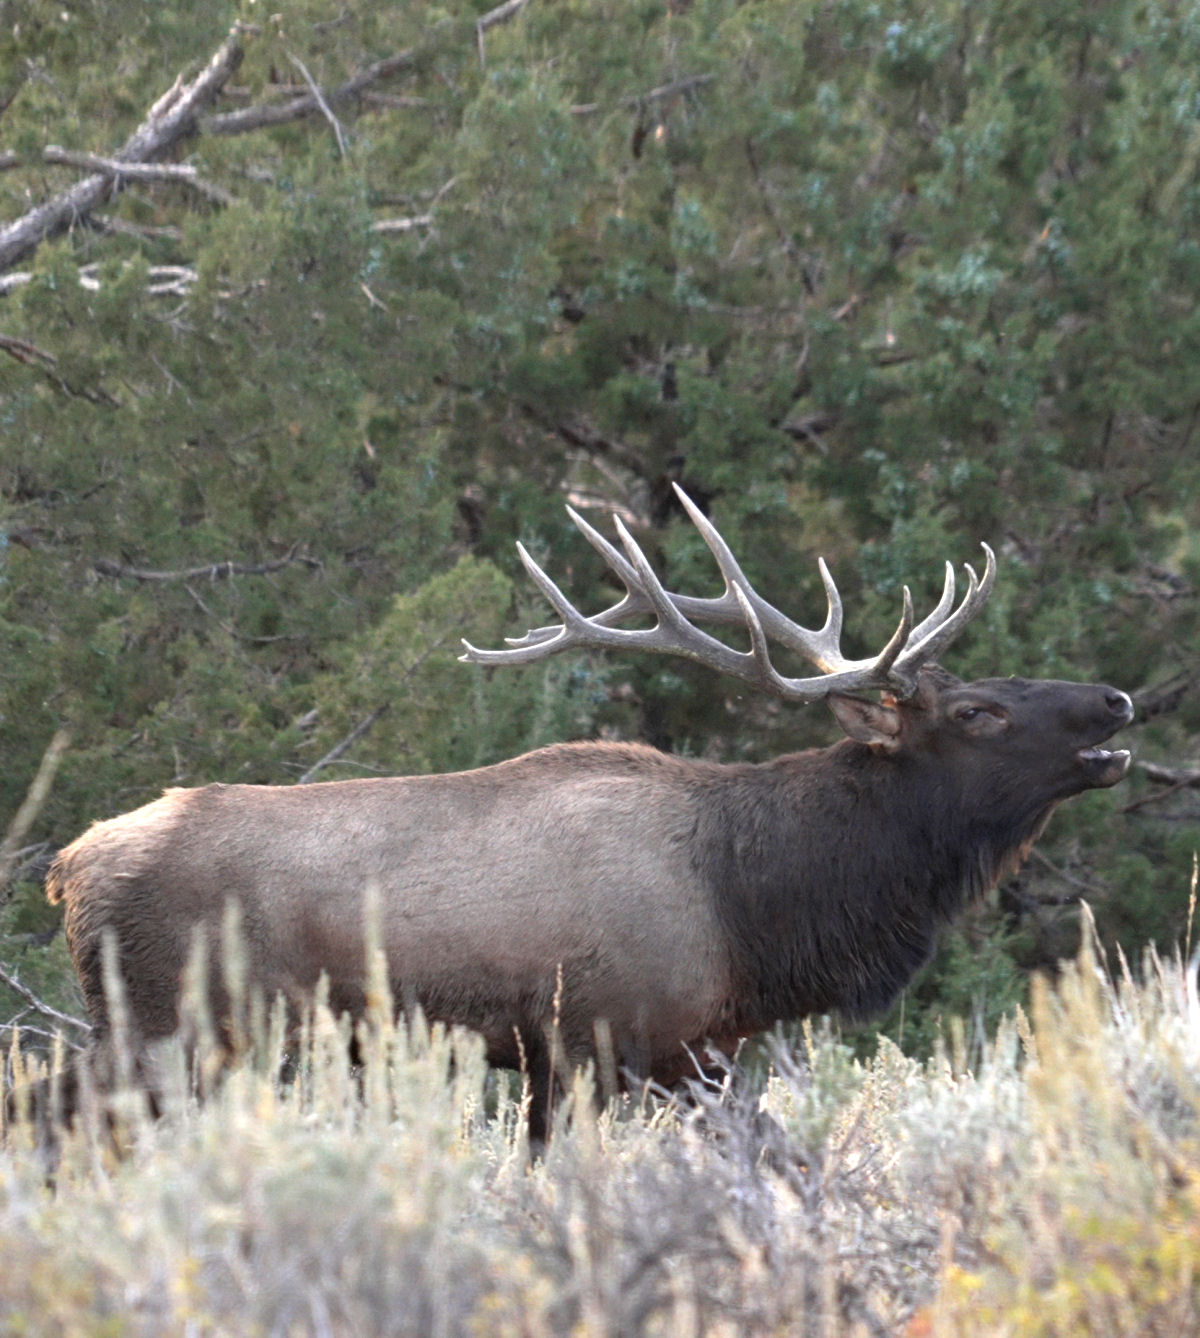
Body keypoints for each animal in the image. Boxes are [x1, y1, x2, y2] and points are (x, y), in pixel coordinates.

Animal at [42, 487, 1132, 1145]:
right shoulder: (596, 1036)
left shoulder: (687, 1052)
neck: (755, 914)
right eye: (977, 711)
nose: (1116, 702)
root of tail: (68, 865)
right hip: (168, 1027)